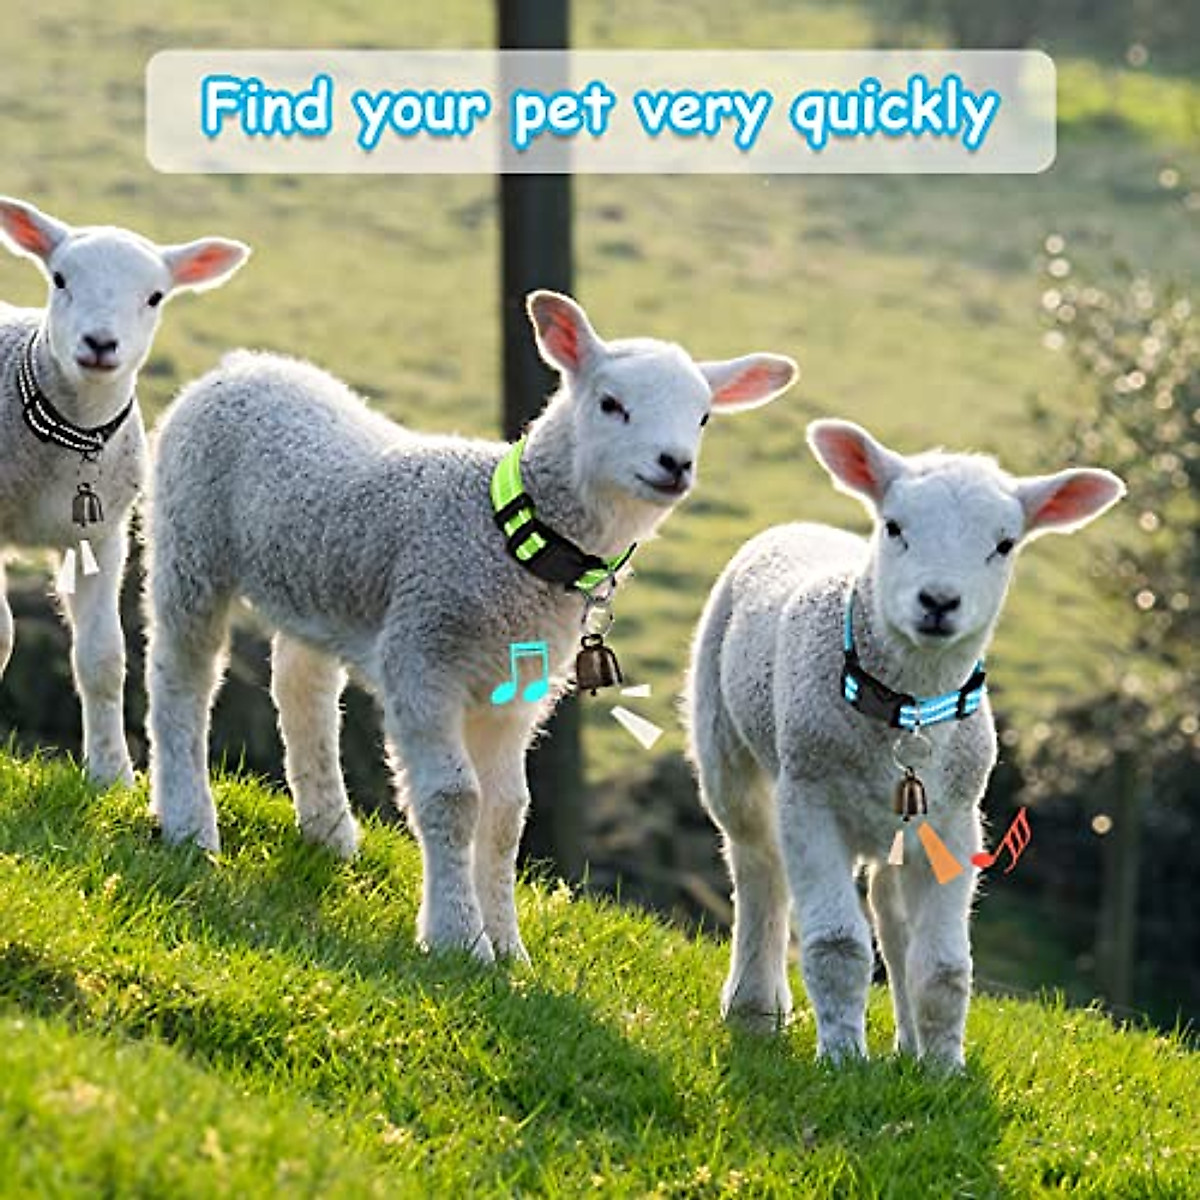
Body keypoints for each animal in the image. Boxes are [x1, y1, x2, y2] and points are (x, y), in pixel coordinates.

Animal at [0, 197, 249, 784]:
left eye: (155, 296)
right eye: (60, 279)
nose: (99, 344)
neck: (70, 436)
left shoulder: (102, 536)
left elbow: (103, 658)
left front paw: (112, 771)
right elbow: (0, 634)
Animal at [145, 291, 798, 962]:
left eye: (703, 418)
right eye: (610, 403)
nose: (675, 464)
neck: (512, 536)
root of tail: (242, 365)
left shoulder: (516, 693)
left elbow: (507, 815)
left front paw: (508, 948)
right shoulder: (423, 655)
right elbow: (455, 799)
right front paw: (458, 939)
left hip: (314, 582)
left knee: (303, 687)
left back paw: (328, 830)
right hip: (188, 538)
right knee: (182, 675)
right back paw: (188, 821)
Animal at [685, 419, 1124, 1066]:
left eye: (1005, 544)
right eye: (894, 526)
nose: (938, 602)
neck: (907, 708)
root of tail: (802, 526)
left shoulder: (954, 820)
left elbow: (943, 967)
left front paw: (942, 1068)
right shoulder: (810, 798)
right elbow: (838, 944)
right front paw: (843, 1059)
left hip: (898, 824)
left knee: (888, 908)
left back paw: (908, 1044)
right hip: (727, 746)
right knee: (758, 866)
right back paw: (755, 1007)